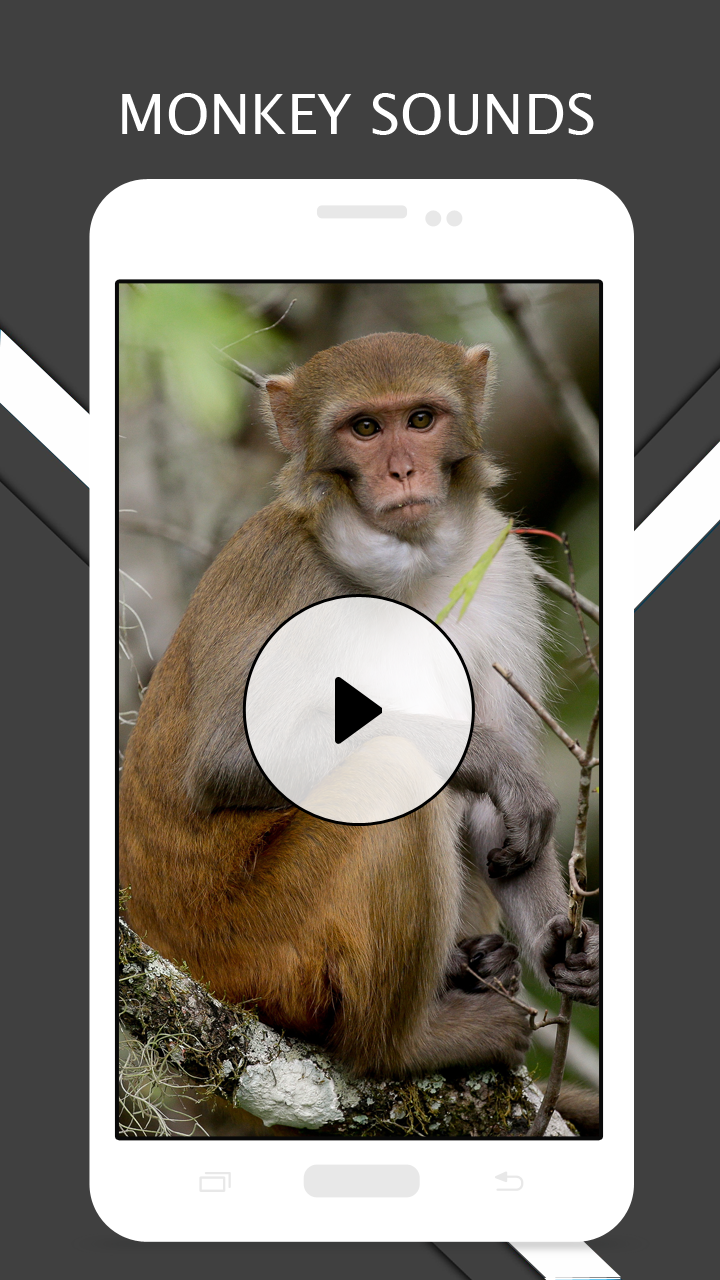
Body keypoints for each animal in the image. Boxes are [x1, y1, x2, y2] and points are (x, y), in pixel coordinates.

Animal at [119, 331, 599, 1082]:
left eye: (421, 420)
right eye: (365, 429)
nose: (402, 471)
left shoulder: (502, 574)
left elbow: (502, 825)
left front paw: (565, 946)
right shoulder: (282, 572)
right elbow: (226, 761)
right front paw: (493, 758)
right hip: (261, 946)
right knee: (395, 770)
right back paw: (409, 1045)